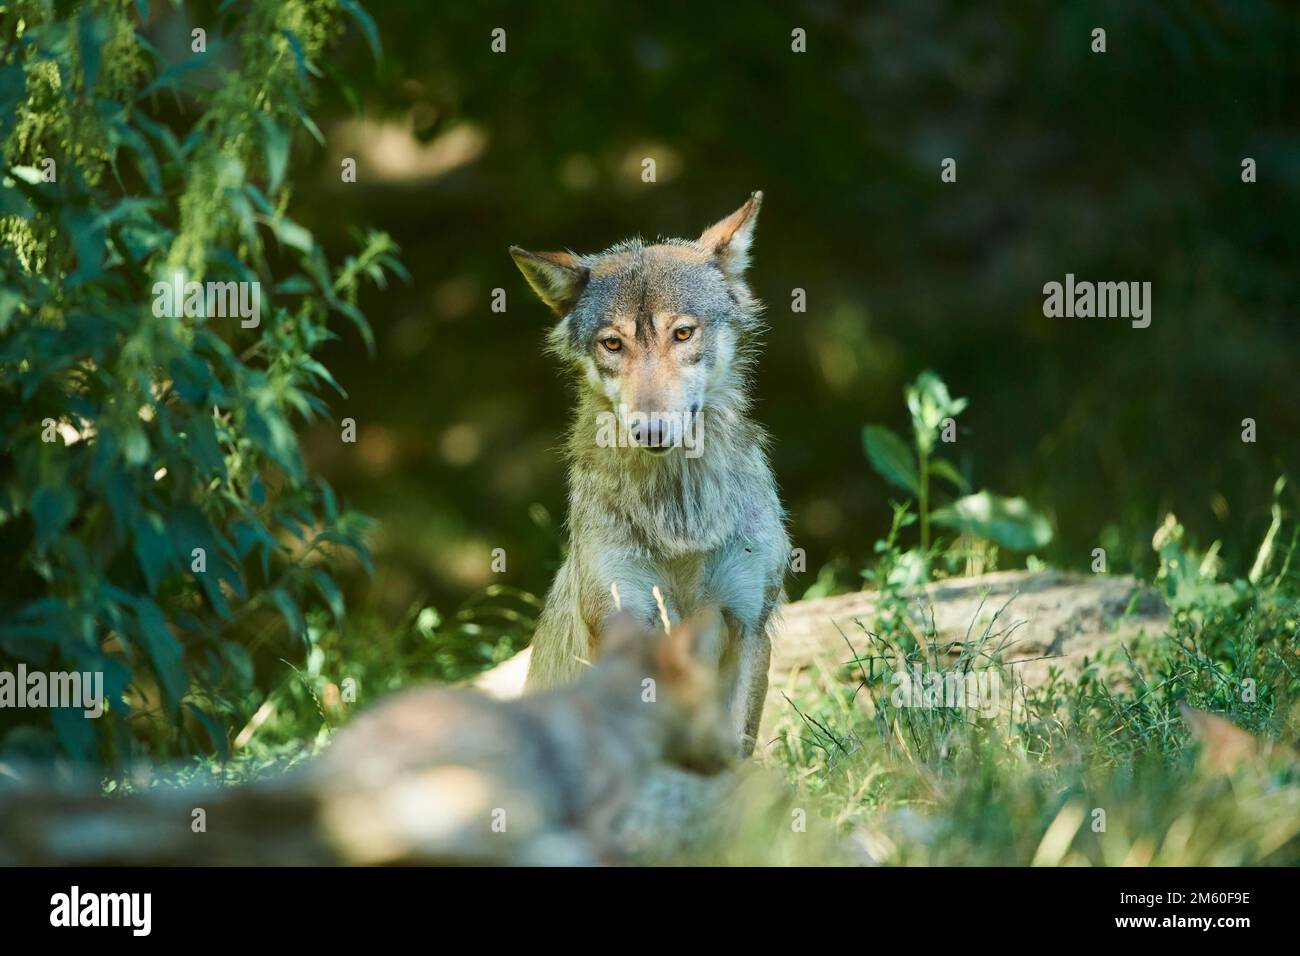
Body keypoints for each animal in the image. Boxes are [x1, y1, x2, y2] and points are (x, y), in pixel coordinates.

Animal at [510, 192, 790, 756]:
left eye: (682, 333)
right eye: (612, 344)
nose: (652, 430)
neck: (680, 515)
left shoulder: (748, 623)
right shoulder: (623, 627)